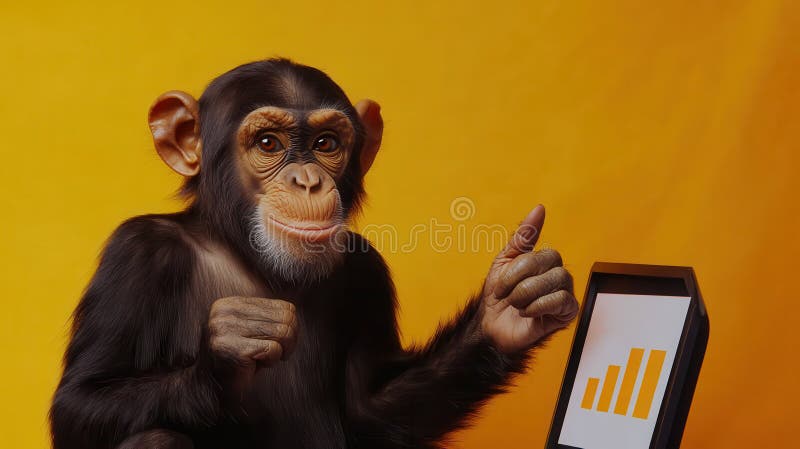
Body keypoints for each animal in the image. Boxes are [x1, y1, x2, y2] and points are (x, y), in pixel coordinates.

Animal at [49, 58, 579, 449]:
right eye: (268, 143)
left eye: (326, 143)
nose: (308, 180)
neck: (250, 256)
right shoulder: (136, 257)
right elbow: (79, 402)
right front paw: (230, 346)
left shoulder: (367, 271)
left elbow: (370, 409)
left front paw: (507, 305)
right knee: (155, 437)